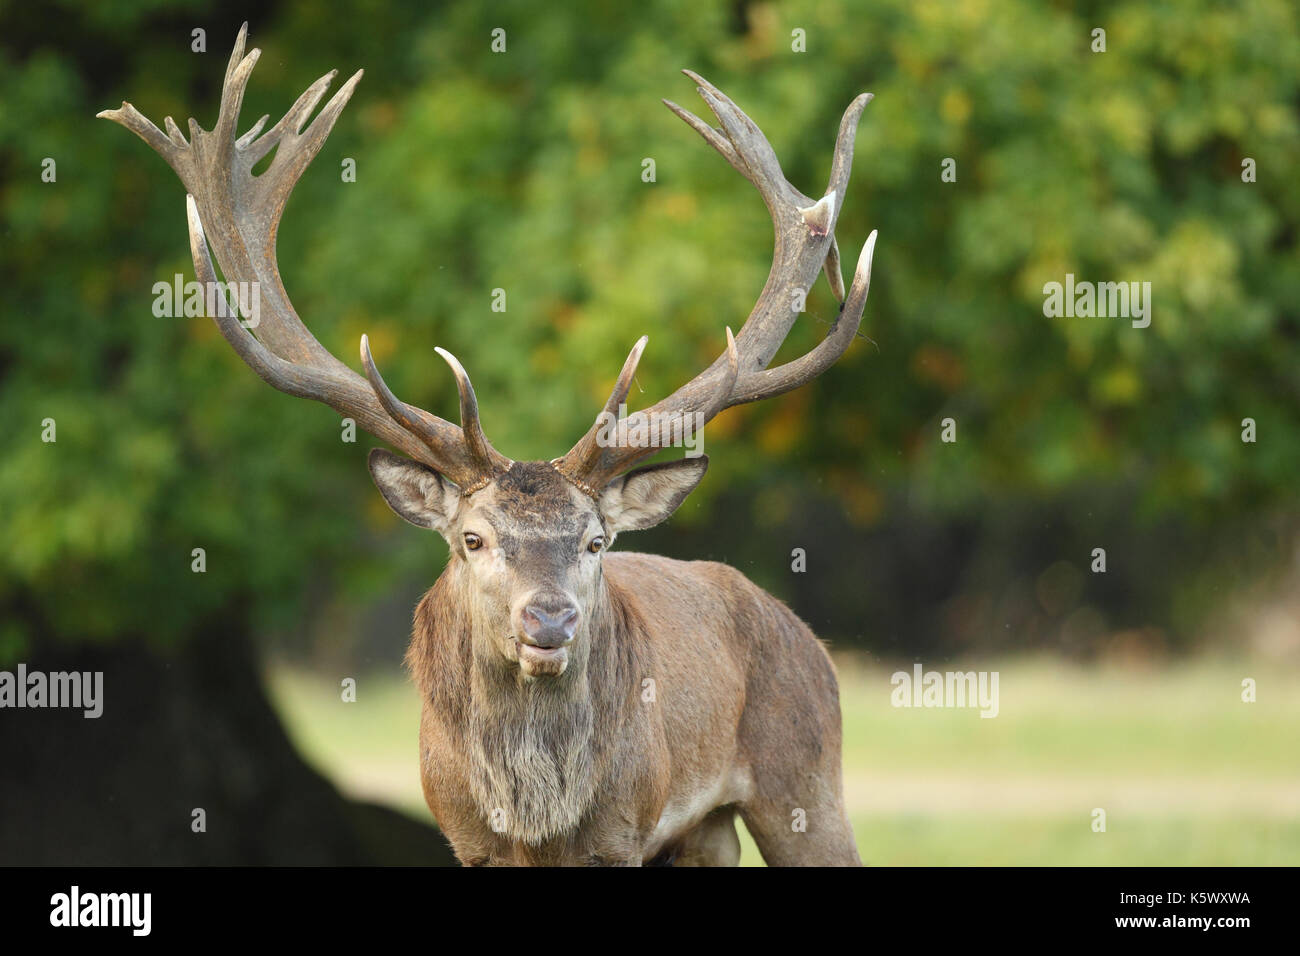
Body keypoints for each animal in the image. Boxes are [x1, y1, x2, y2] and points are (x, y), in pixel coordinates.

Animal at [100, 24, 876, 866]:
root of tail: (804, 638)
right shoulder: (462, 833)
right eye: (472, 539)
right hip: (707, 829)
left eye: (596, 541)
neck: (535, 823)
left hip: (808, 776)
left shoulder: (624, 830)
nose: (551, 621)